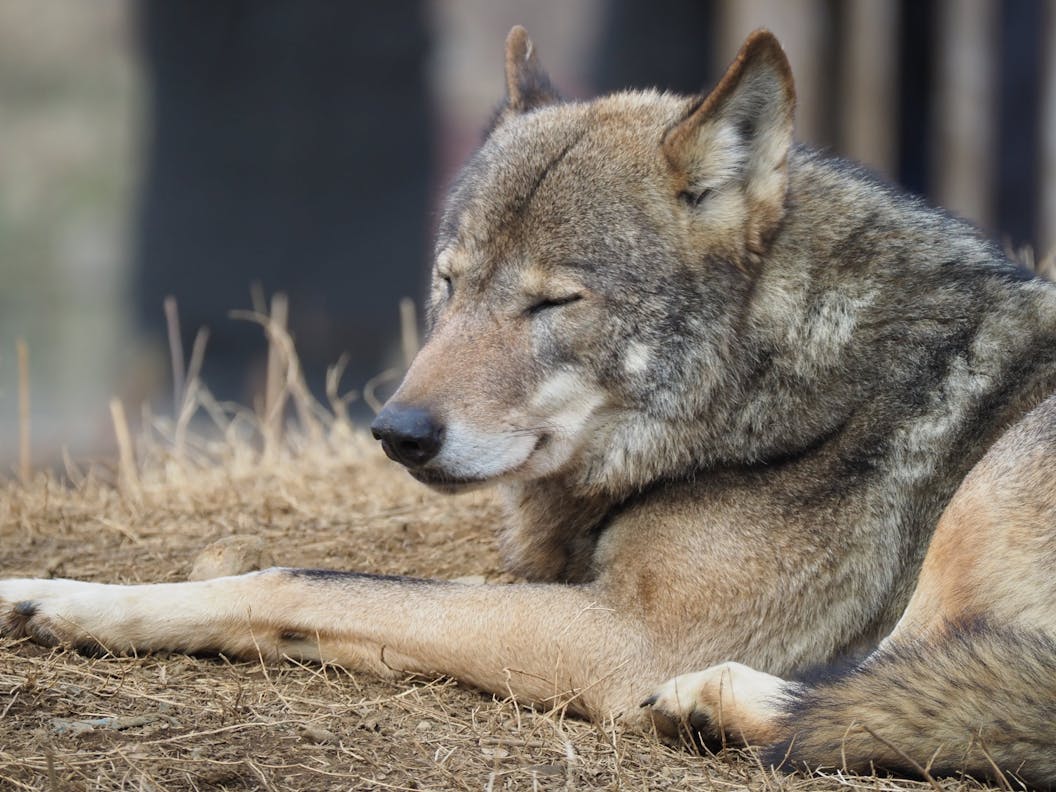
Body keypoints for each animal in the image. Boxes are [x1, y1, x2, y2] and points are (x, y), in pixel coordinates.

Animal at [3, 27, 1056, 787]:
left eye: (552, 302)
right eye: (449, 281)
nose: (397, 433)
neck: (778, 386)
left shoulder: (629, 638)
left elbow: (299, 582)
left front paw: (64, 596)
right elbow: (357, 584)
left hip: (976, 507)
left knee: (883, 695)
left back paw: (713, 706)